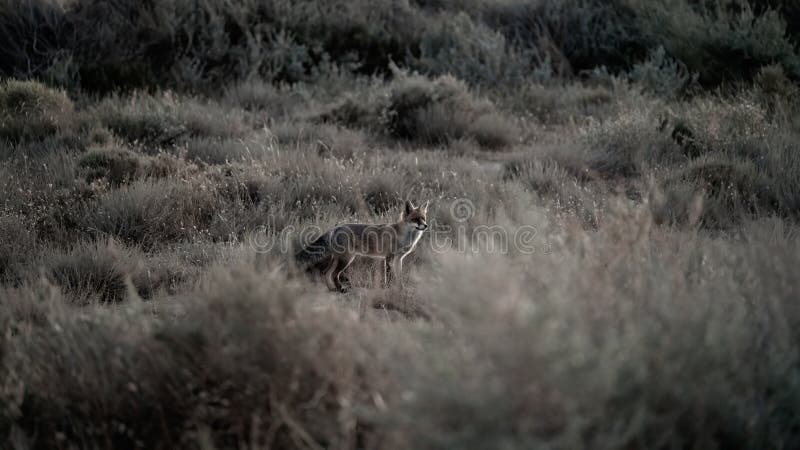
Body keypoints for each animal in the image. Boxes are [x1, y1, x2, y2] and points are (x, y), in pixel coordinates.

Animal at [295, 200, 429, 292]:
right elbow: (389, 277)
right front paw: (389, 288)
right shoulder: (389, 257)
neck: (403, 236)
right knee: (333, 274)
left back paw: (331, 289)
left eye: (423, 218)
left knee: (325, 273)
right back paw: (340, 289)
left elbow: (399, 277)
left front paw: (401, 289)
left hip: (338, 259)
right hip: (346, 259)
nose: (426, 225)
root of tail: (335, 228)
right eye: (415, 219)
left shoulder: (398, 259)